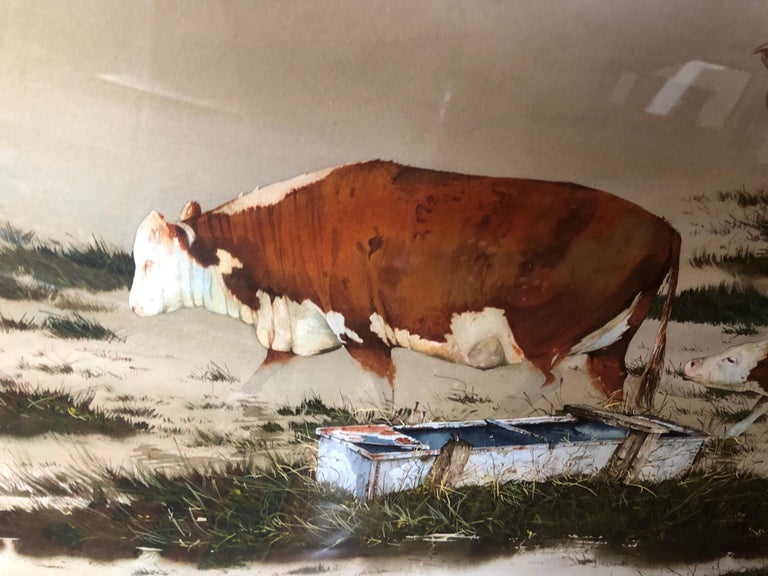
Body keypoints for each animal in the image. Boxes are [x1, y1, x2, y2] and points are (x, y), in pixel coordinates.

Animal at [129, 160, 680, 407]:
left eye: (149, 263)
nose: (132, 307)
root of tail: (663, 225)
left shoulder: (359, 330)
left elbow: (381, 394)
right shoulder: (301, 326)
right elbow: (257, 378)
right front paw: (234, 403)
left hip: (540, 338)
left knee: (544, 382)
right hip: (609, 347)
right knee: (609, 393)